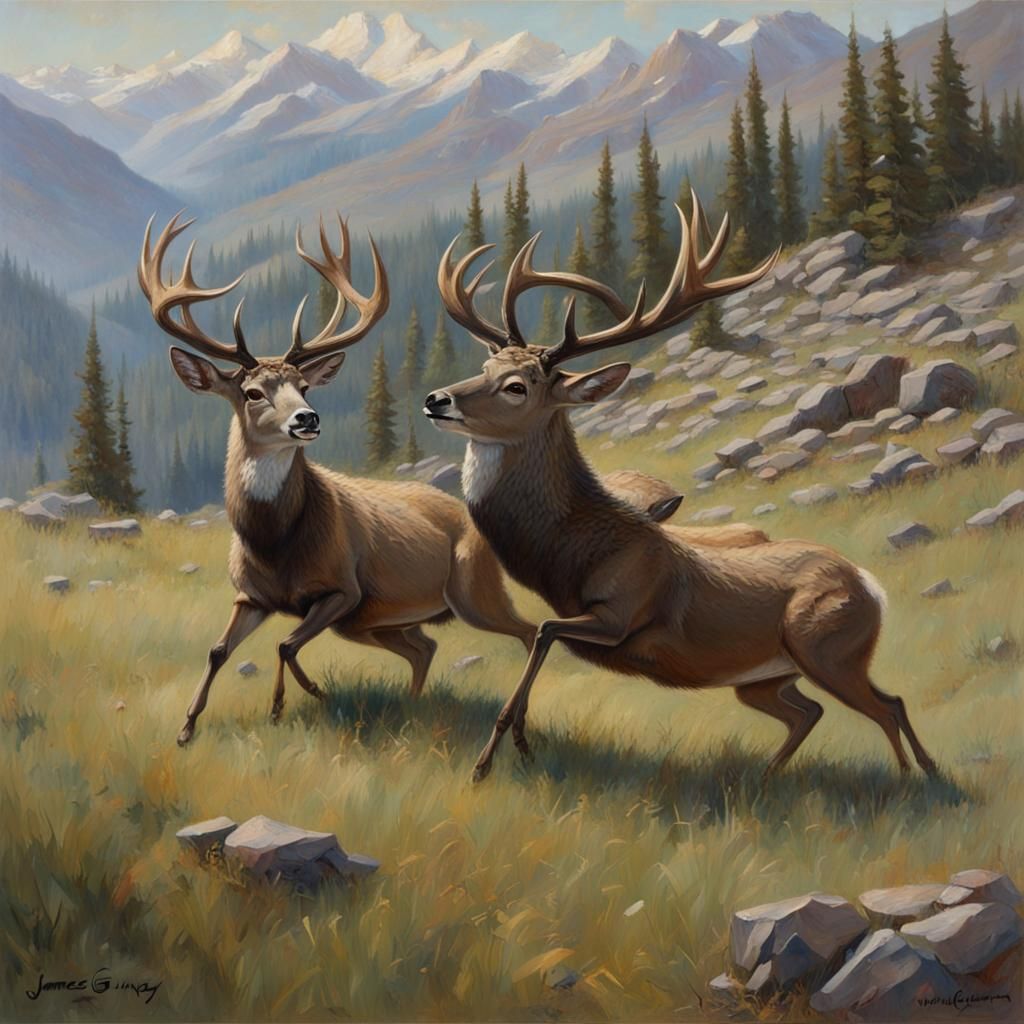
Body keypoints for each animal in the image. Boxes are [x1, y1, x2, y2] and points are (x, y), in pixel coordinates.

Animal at [138, 212, 543, 746]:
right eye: (251, 392)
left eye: (304, 386)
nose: (306, 419)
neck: (274, 544)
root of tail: (464, 512)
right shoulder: (250, 595)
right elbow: (218, 650)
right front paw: (187, 728)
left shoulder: (342, 589)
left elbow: (286, 644)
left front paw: (293, 700)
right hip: (376, 621)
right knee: (424, 646)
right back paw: (413, 706)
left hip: (472, 590)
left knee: (527, 631)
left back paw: (516, 723)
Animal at [424, 192, 939, 783]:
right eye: (484, 363)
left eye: (515, 386)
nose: (437, 399)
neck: (572, 555)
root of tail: (871, 587)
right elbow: (540, 634)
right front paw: (520, 746)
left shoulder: (622, 615)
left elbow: (544, 630)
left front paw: (493, 758)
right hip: (765, 679)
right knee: (812, 711)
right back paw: (768, 775)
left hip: (829, 648)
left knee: (887, 704)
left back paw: (919, 776)